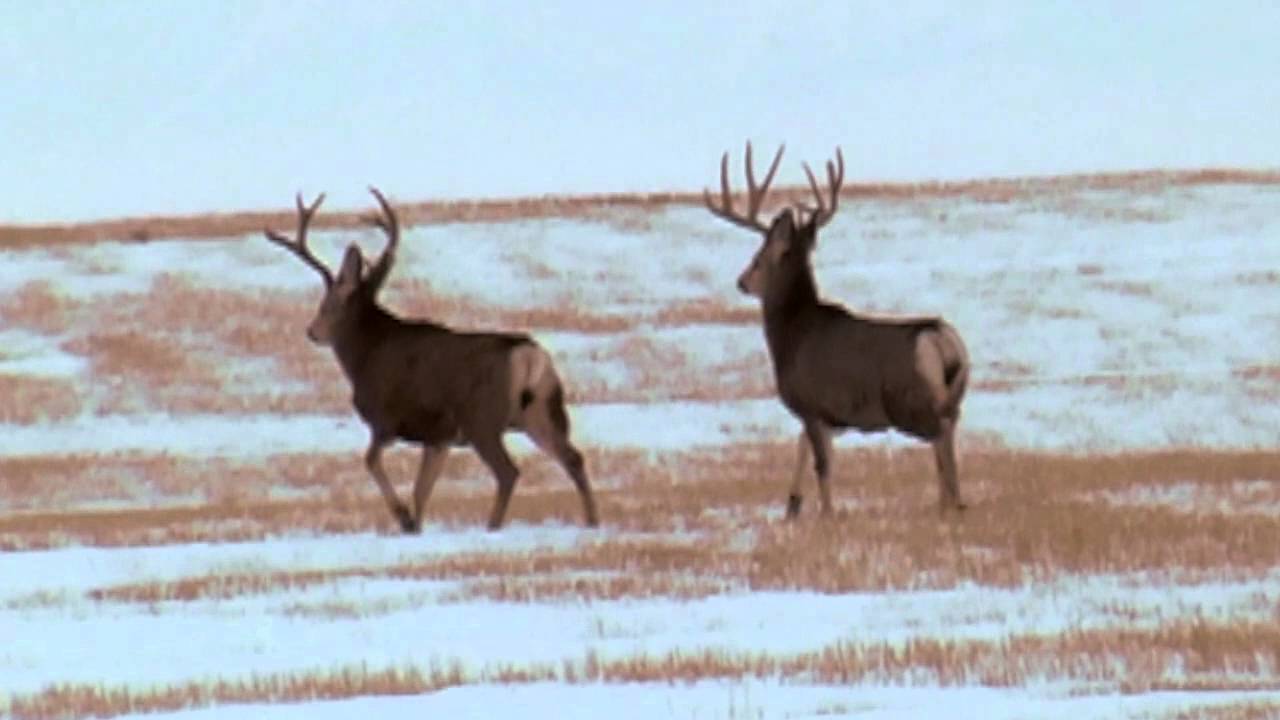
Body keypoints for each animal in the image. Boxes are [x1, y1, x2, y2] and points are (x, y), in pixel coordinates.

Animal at [264, 188, 599, 533]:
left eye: (326, 305)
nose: (312, 331)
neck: (364, 355)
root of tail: (529, 356)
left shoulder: (388, 420)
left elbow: (371, 461)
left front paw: (402, 517)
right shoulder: (439, 438)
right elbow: (421, 491)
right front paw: (415, 523)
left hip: (483, 418)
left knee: (508, 471)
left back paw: (493, 526)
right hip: (540, 411)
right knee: (573, 457)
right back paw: (592, 521)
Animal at [705, 143, 971, 518]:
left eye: (758, 258)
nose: (742, 282)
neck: (791, 335)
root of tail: (942, 340)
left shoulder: (810, 403)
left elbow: (822, 464)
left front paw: (826, 513)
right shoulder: (825, 416)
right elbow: (804, 448)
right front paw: (792, 506)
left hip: (911, 401)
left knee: (941, 437)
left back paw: (950, 503)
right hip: (953, 392)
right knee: (950, 431)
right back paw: (950, 502)